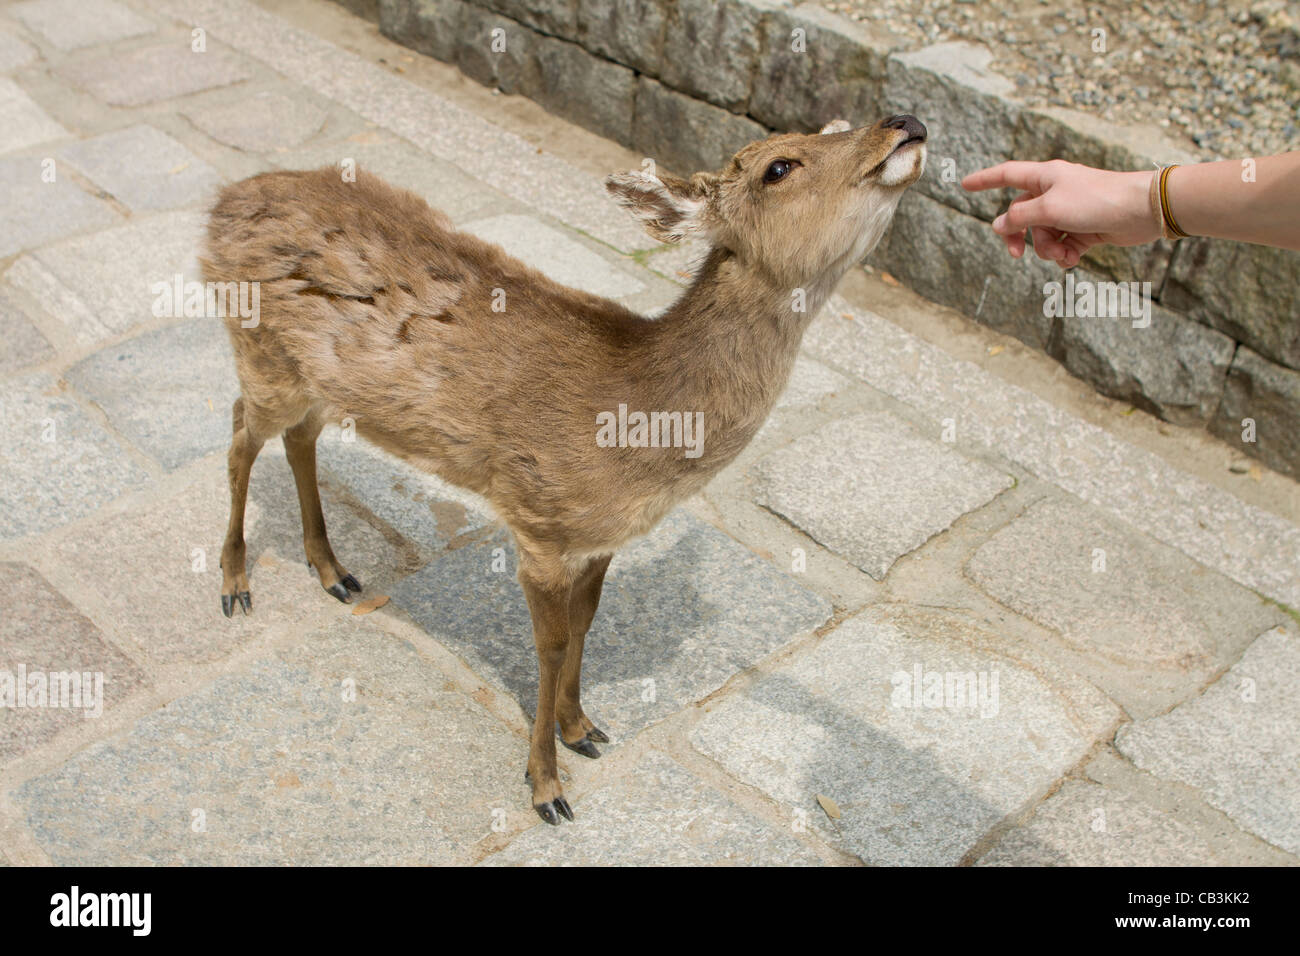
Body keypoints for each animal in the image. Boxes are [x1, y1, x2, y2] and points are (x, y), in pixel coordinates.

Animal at [204, 113, 928, 824]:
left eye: (830, 124)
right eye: (779, 166)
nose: (907, 123)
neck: (638, 427)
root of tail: (219, 205)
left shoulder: (602, 539)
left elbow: (587, 622)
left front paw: (582, 728)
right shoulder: (539, 521)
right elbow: (548, 646)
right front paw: (546, 786)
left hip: (316, 381)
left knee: (298, 437)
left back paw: (334, 571)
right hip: (260, 350)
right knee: (239, 434)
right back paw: (235, 583)